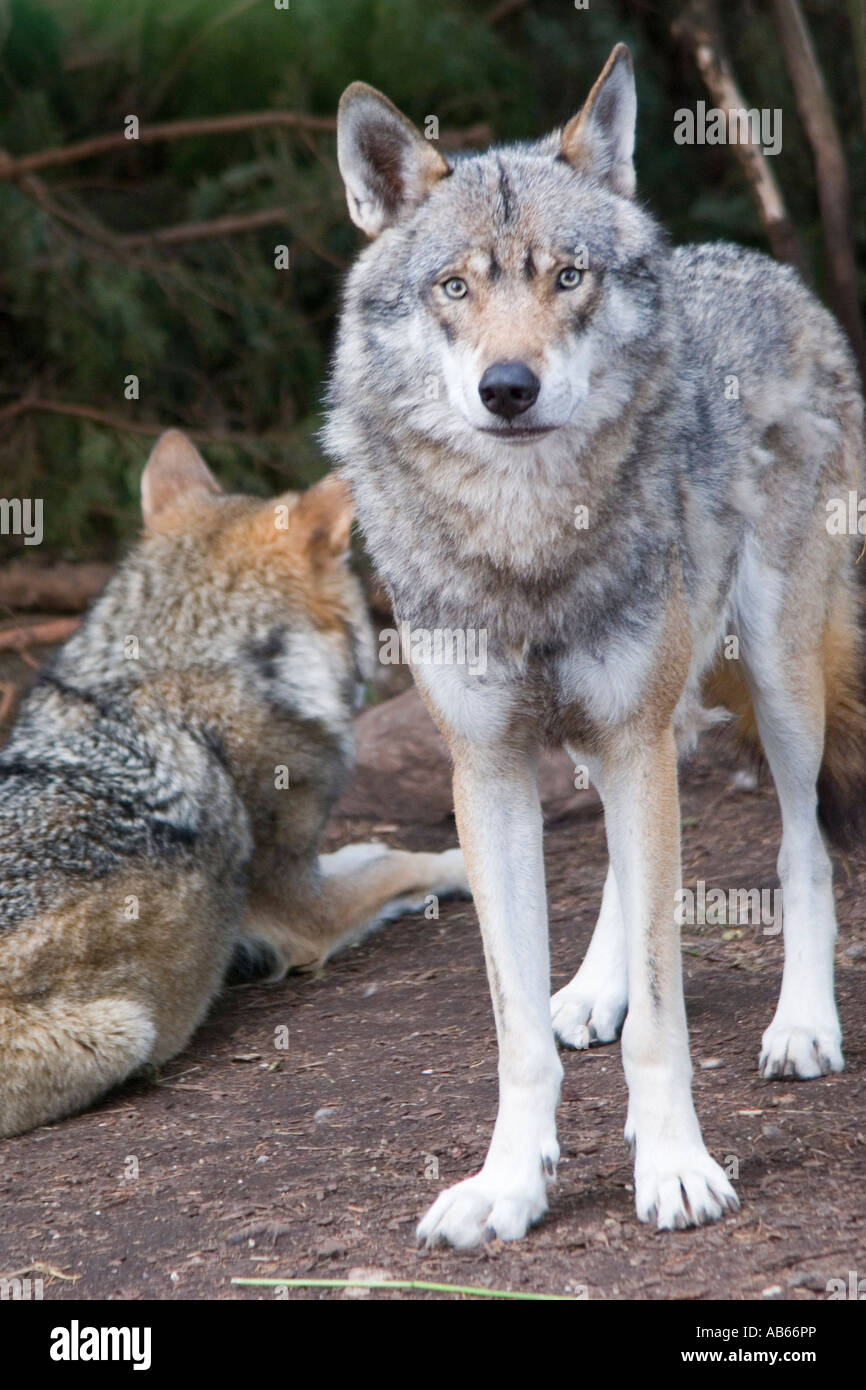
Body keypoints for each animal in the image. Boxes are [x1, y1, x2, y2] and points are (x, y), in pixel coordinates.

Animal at [0, 430, 468, 1138]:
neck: (176, 663)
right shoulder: (307, 913)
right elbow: (405, 863)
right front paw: (463, 864)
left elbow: (370, 853)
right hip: (124, 1028)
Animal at [325, 44, 866, 1247]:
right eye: (456, 287)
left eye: (566, 277)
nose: (507, 387)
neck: (526, 533)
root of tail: (763, 267)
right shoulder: (489, 766)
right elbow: (515, 1026)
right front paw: (507, 1182)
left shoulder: (628, 731)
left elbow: (666, 1019)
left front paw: (672, 1166)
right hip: (623, 722)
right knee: (639, 860)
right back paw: (592, 988)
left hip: (774, 673)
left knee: (801, 848)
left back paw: (802, 1025)